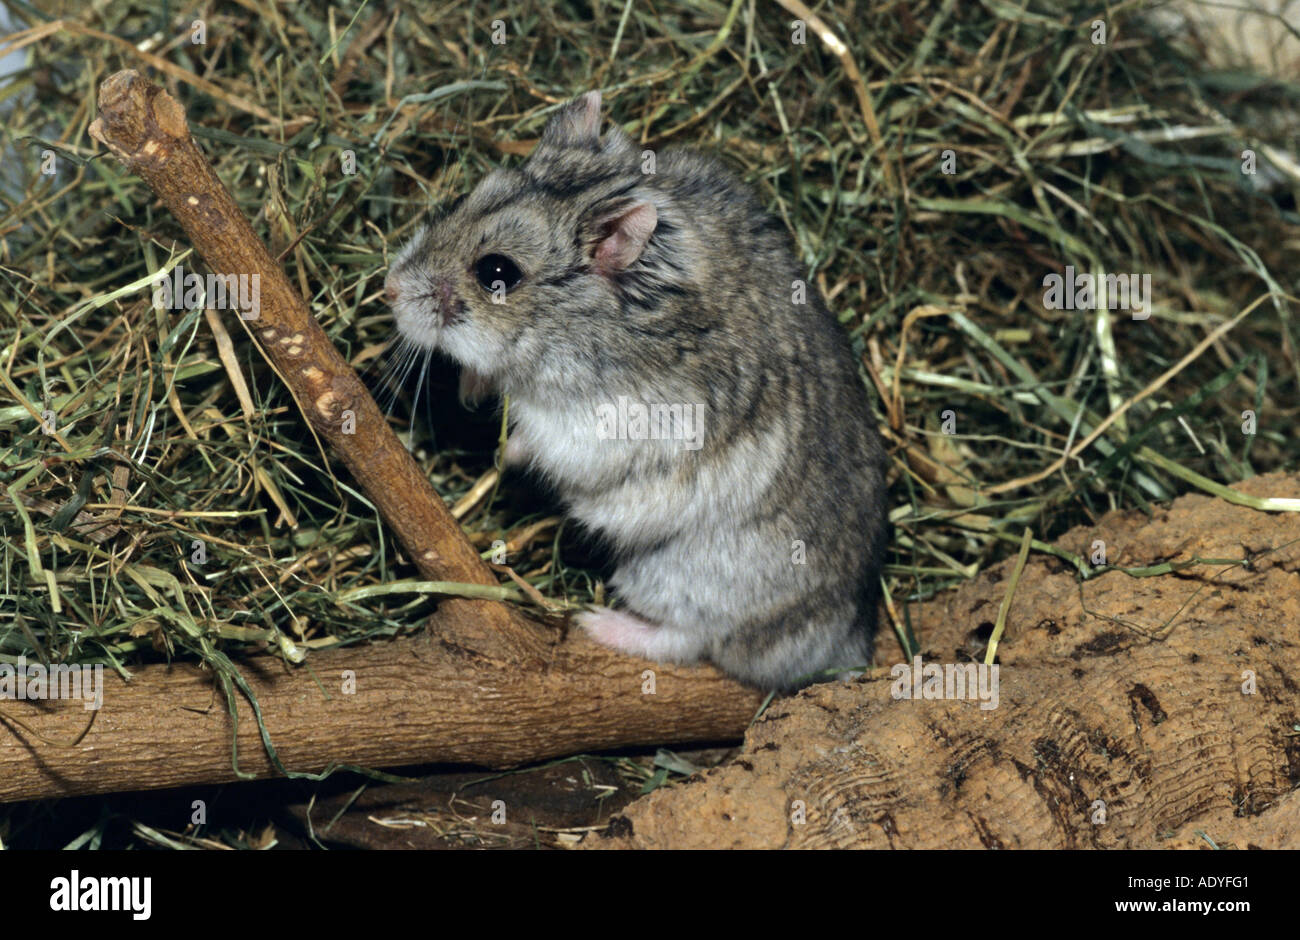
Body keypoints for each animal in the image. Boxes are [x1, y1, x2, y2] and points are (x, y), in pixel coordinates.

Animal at [385, 91, 889, 690]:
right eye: (464, 199)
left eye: (496, 272)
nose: (387, 288)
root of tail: (851, 641)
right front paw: (469, 390)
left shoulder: (599, 430)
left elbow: (540, 443)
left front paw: (505, 454)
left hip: (677, 576)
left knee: (690, 640)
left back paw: (597, 621)